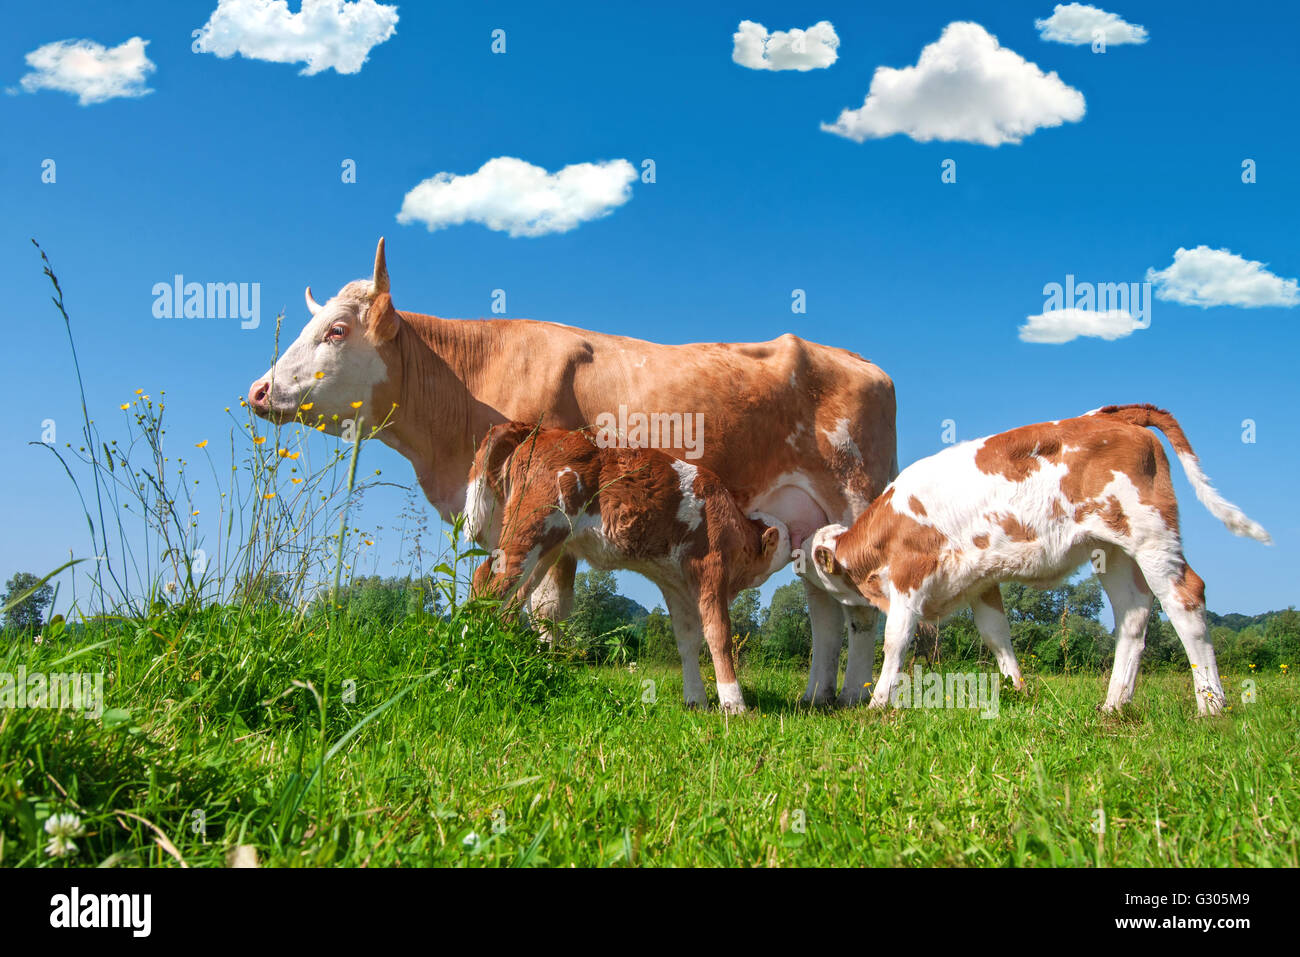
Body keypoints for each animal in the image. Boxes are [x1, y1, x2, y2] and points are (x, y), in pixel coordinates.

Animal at [465, 421, 791, 711]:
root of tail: (543, 431)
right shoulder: (710, 566)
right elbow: (718, 633)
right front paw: (734, 704)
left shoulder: (676, 583)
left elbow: (688, 639)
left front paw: (695, 700)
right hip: (531, 525)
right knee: (486, 579)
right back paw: (468, 655)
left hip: (547, 548)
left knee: (511, 601)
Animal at [798, 405, 1271, 715]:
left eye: (811, 557)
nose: (794, 560)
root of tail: (1111, 415)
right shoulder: (978, 580)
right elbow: (996, 636)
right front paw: (1017, 689)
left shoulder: (909, 578)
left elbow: (896, 639)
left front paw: (879, 703)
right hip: (1113, 550)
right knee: (1133, 613)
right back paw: (1114, 704)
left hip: (1151, 534)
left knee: (1185, 598)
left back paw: (1211, 706)